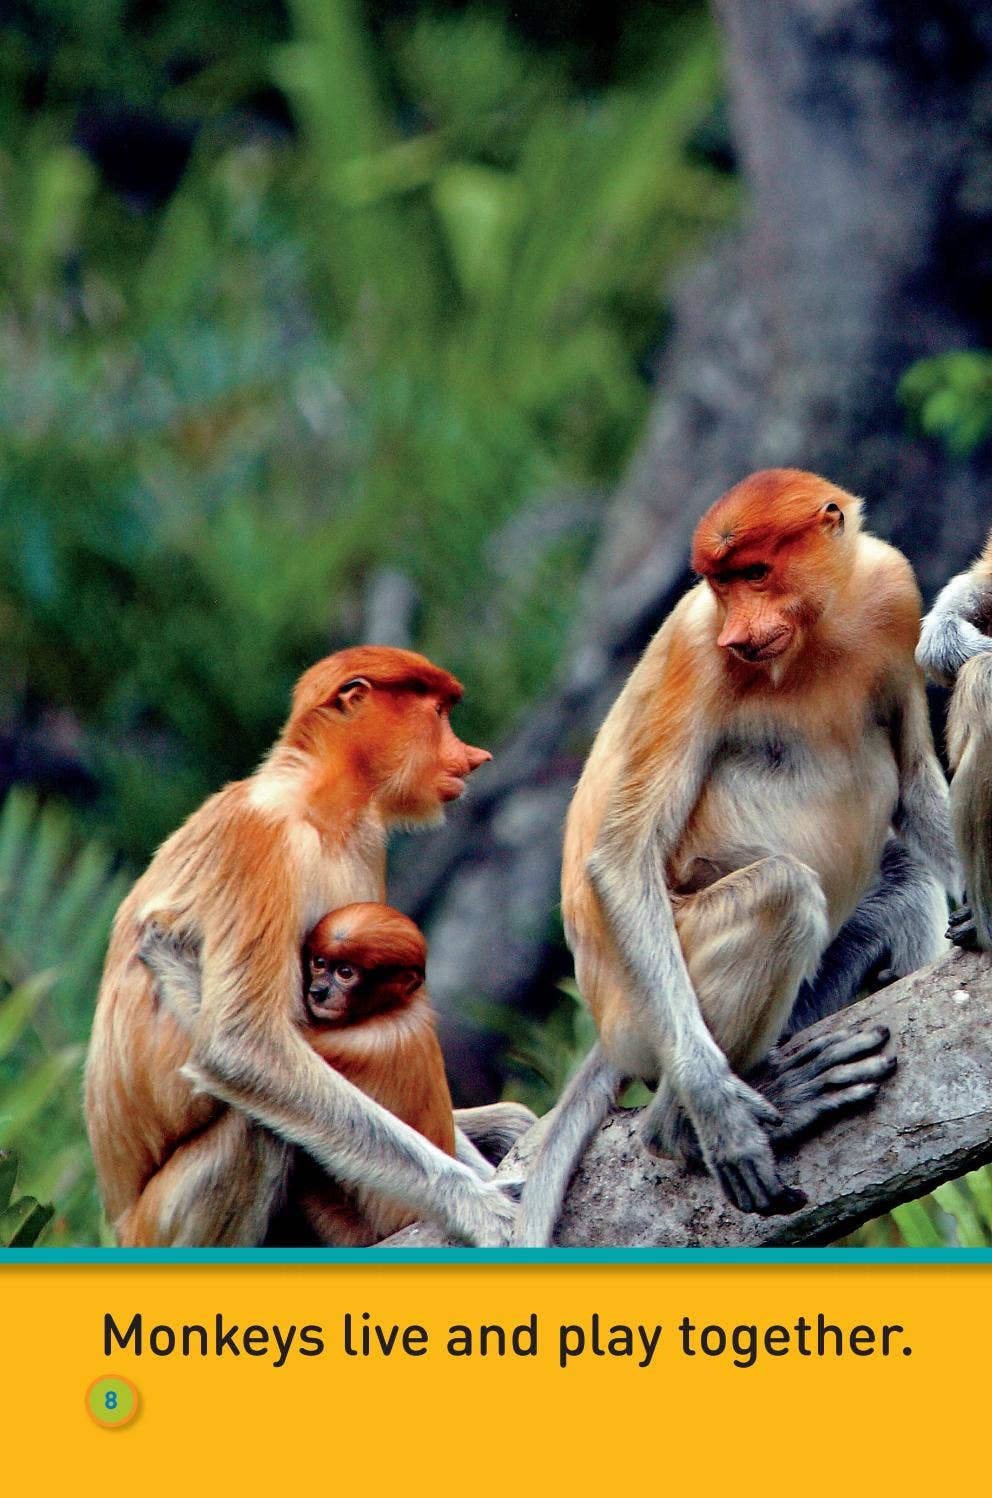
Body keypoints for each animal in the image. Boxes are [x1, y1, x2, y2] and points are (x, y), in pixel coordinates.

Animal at [85, 646, 529, 1248]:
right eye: (438, 712)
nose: (474, 756)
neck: (317, 805)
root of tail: (119, 1220)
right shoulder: (261, 840)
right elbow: (243, 1049)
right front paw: (481, 1205)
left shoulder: (365, 847)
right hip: (162, 1221)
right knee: (257, 1128)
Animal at [517, 469, 957, 1245]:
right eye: (720, 585)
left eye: (755, 573)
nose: (739, 631)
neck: (818, 631)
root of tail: (608, 1031)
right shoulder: (699, 649)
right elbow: (622, 857)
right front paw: (716, 1113)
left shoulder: (894, 592)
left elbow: (911, 778)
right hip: (644, 1010)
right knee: (779, 892)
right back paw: (680, 1127)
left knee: (904, 874)